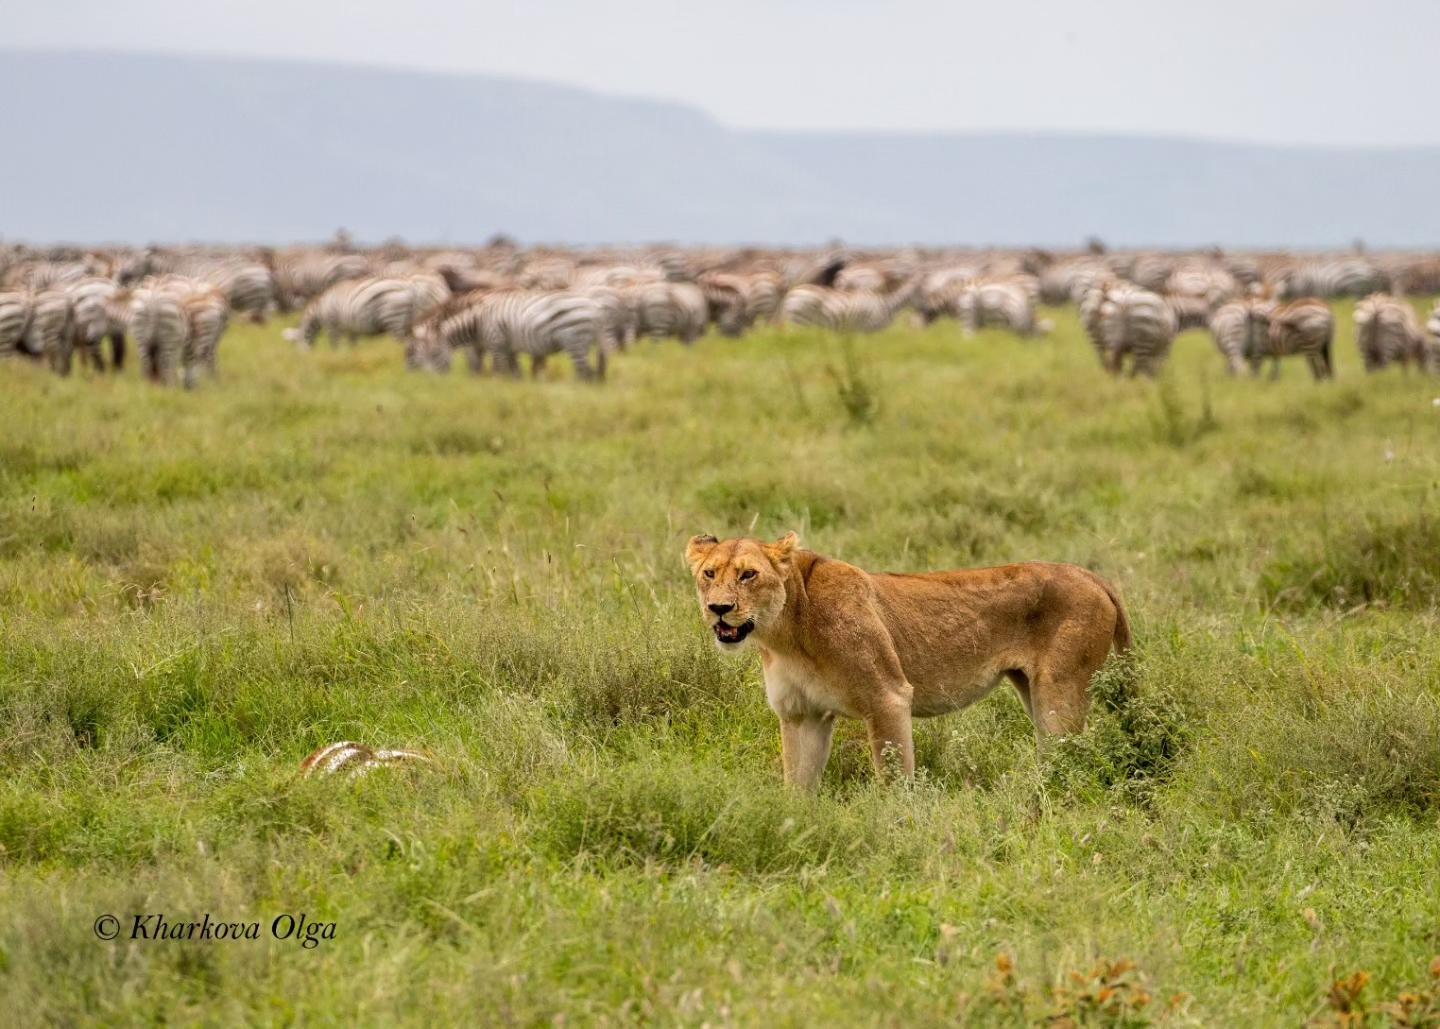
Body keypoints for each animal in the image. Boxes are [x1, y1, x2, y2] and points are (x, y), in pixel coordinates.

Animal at [411, 289, 607, 382]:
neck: (478, 321)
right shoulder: (509, 348)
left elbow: (500, 372)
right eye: (422, 358)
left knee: (585, 374)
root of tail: (595, 307)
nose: (434, 383)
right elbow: (515, 374)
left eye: (435, 354)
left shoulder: (496, 344)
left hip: (574, 341)